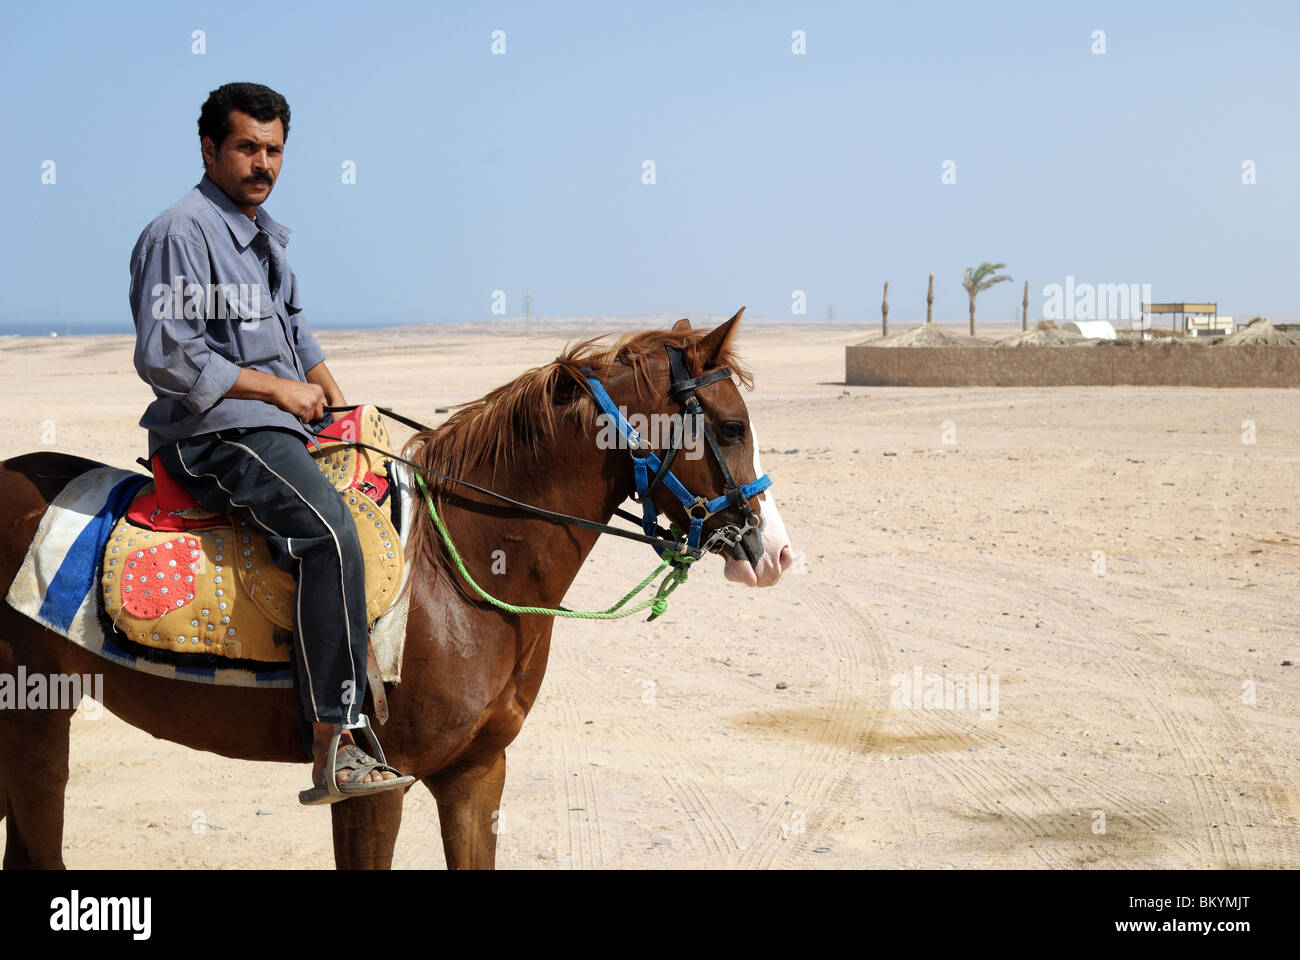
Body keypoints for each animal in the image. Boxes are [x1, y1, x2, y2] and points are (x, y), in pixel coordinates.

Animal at [0, 310, 793, 869]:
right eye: (730, 427)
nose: (775, 553)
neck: (459, 574)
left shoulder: (476, 774)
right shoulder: (370, 789)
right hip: (31, 715)